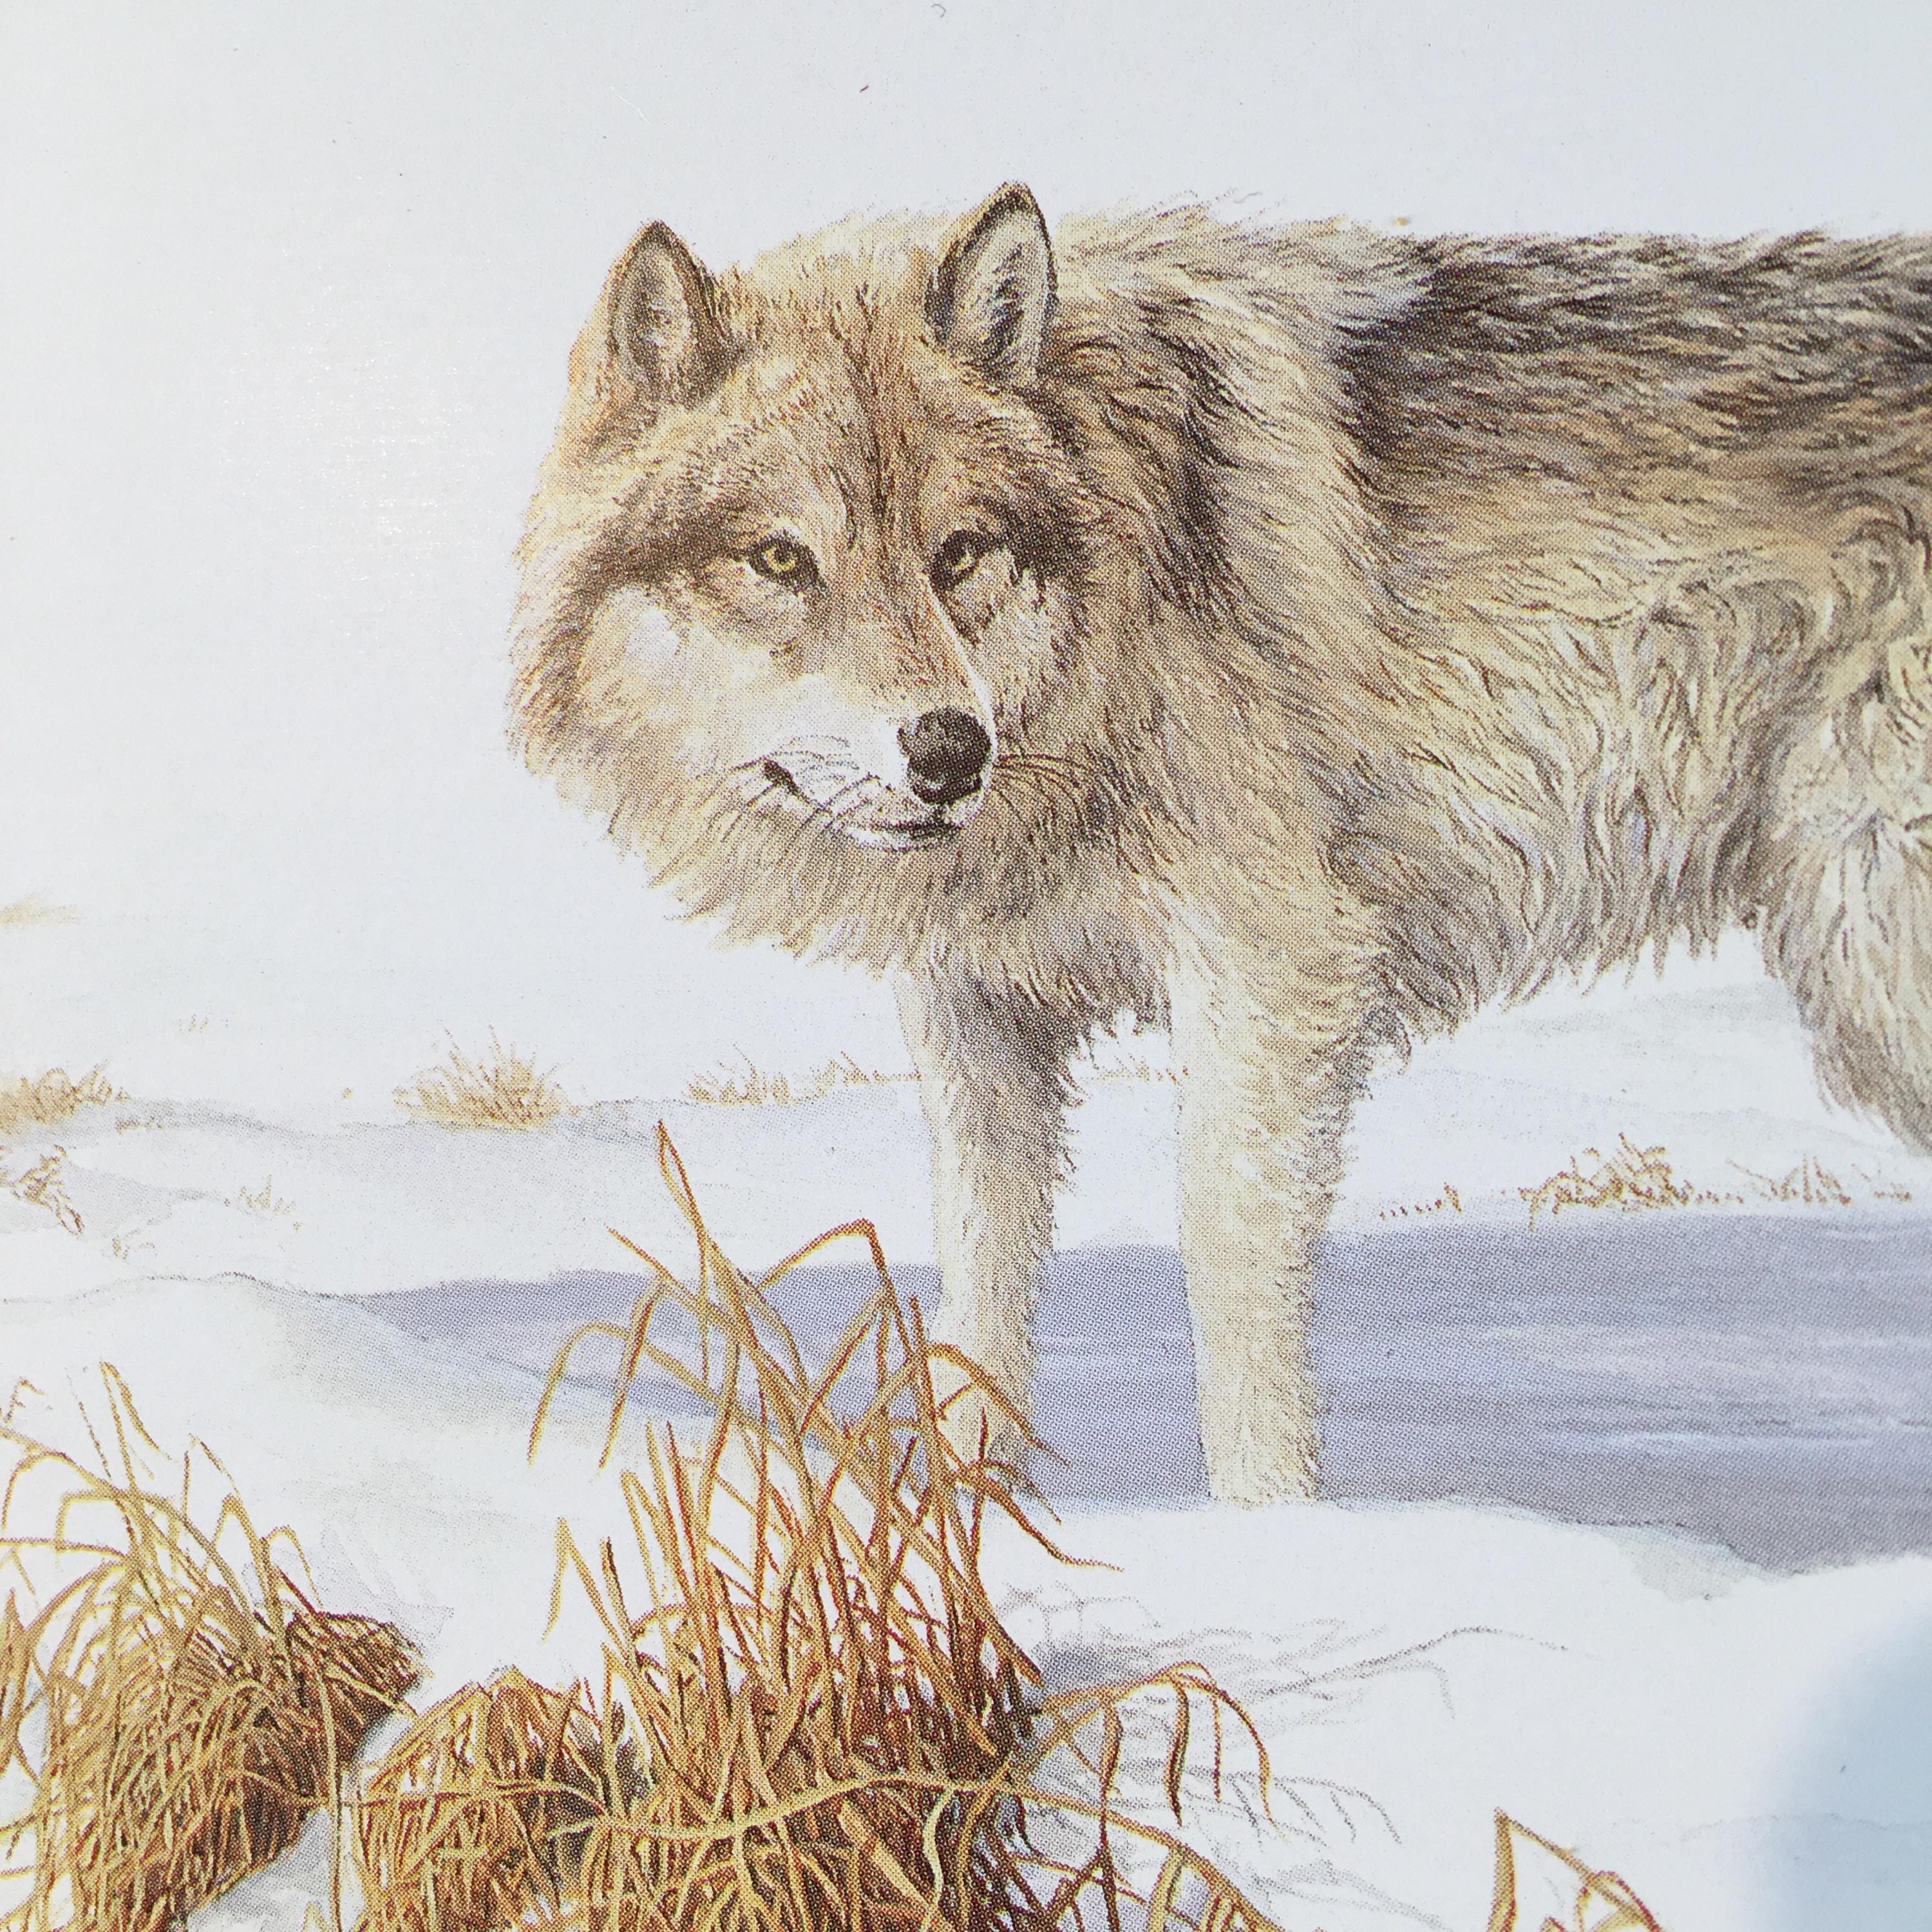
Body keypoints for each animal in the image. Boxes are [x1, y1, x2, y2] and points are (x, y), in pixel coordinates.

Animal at [510, 185, 1932, 1503]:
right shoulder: (978, 1014)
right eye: (780, 560)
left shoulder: (1272, 972)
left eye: (961, 551)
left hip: (1876, 949)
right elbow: (981, 1279)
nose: (950, 751)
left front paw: (1268, 1535)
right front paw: (965, 1530)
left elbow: (1231, 1274)